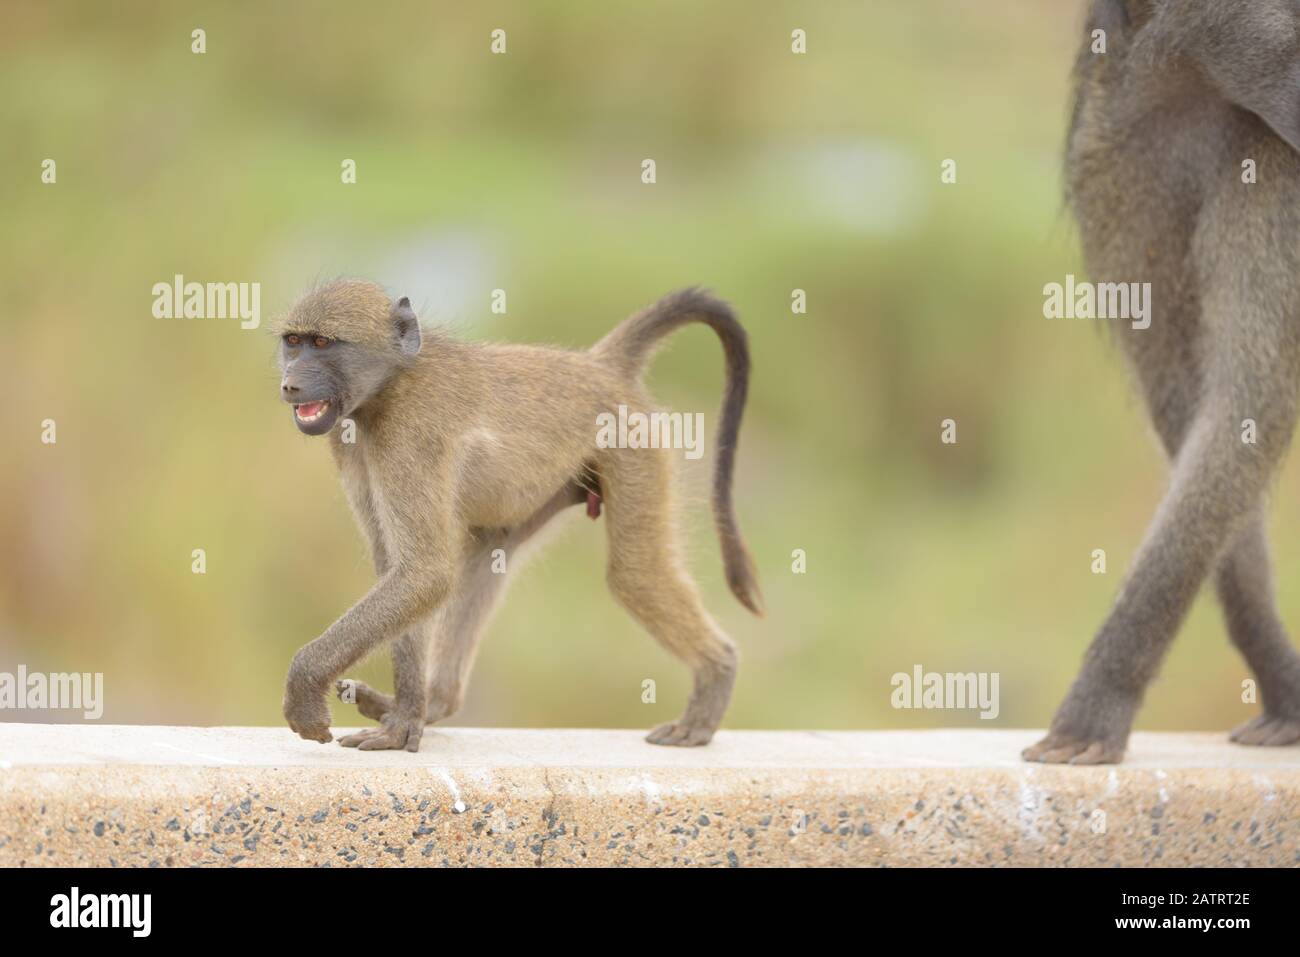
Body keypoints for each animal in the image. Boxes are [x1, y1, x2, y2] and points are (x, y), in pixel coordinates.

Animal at [273, 279, 762, 751]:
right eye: (293, 342)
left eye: (322, 343)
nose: (289, 384)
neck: (388, 385)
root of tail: (600, 366)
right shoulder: (352, 444)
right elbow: (403, 572)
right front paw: (406, 719)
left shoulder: (410, 434)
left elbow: (424, 573)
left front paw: (320, 697)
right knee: (490, 549)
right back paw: (438, 701)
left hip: (633, 445)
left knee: (635, 574)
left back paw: (714, 682)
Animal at [1023, 0, 1300, 764]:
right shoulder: (1118, 163)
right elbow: (1200, 415)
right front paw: (1283, 685)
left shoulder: (1273, 165)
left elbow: (1248, 407)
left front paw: (1096, 702)